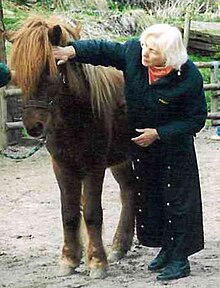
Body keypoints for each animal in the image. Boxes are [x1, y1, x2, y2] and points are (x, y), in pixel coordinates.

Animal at [8, 15, 135, 280]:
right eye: (19, 76)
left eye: (50, 70)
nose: (34, 126)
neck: (76, 115)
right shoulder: (62, 165)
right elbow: (69, 213)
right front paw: (69, 259)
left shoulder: (94, 165)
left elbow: (92, 213)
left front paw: (97, 262)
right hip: (121, 159)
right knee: (129, 190)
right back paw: (119, 246)